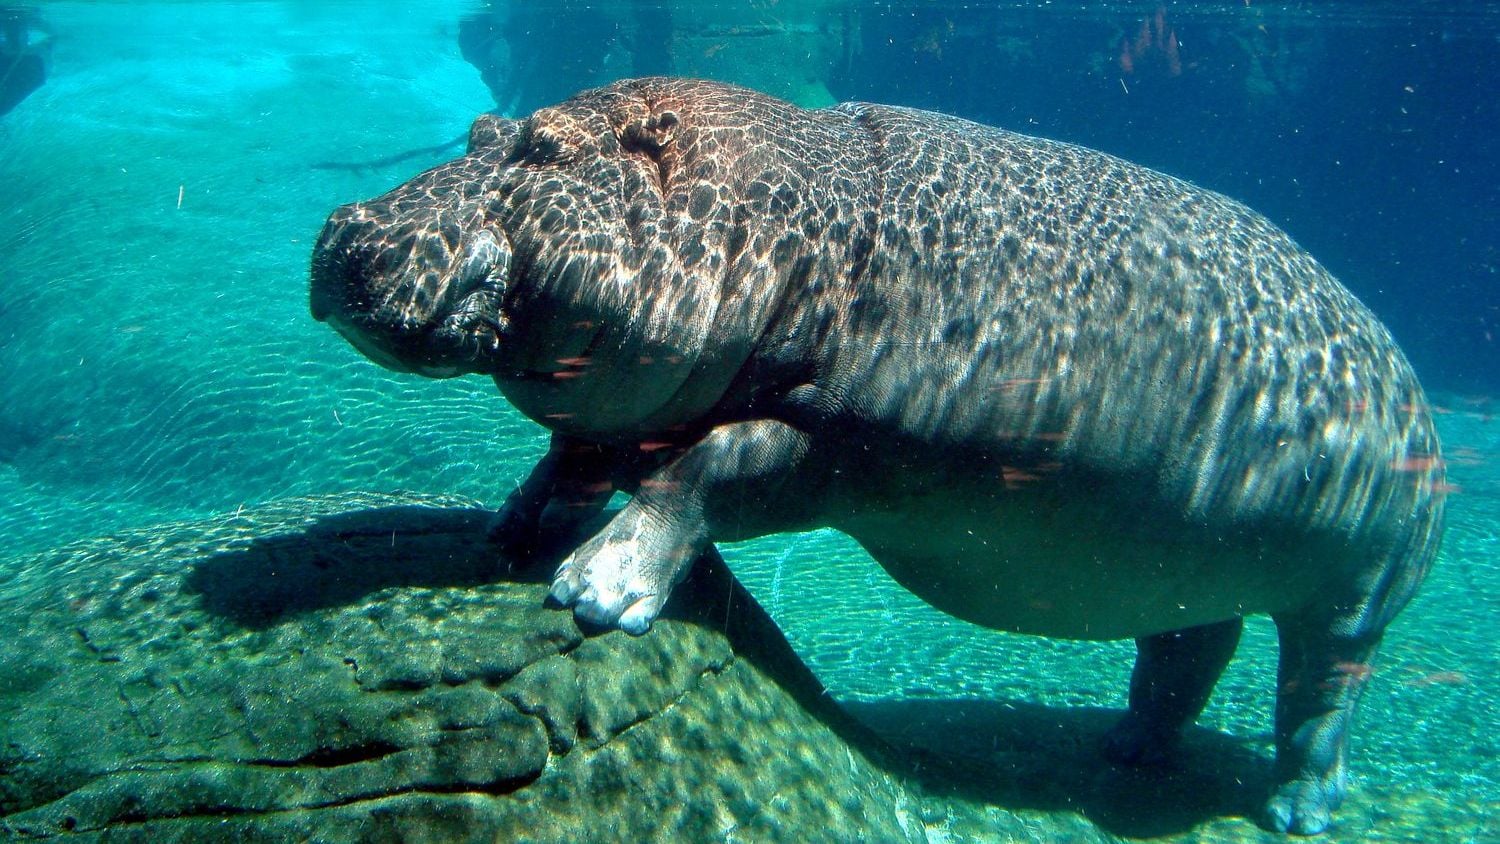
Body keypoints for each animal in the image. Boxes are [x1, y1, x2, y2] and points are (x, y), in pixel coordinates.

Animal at [309, 78, 1444, 835]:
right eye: (482, 129)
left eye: (546, 148)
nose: (345, 227)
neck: (773, 219)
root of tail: (1414, 383)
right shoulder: (627, 407)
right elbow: (572, 458)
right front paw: (506, 532)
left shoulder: (830, 442)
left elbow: (691, 478)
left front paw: (594, 592)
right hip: (1188, 556)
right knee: (1188, 646)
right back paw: (1127, 750)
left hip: (1355, 591)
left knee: (1319, 695)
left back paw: (1300, 810)